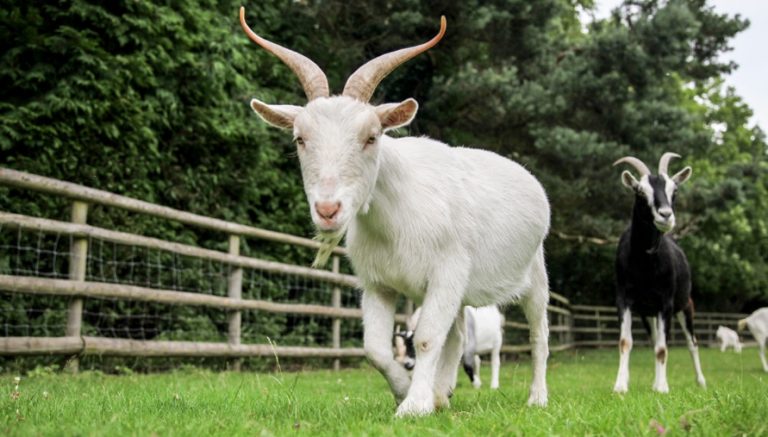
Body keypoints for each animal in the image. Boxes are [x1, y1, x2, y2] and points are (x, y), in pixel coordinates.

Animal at [239, 8, 551, 417]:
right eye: (300, 138)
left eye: (371, 137)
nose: (328, 209)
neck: (396, 221)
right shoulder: (378, 284)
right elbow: (375, 348)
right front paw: (407, 391)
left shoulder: (446, 271)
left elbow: (427, 339)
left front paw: (414, 406)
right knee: (456, 336)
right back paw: (442, 393)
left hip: (535, 274)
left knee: (538, 334)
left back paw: (537, 397)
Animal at [612, 153, 705, 393]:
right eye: (640, 191)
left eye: (675, 190)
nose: (666, 216)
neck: (645, 266)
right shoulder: (624, 299)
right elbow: (625, 342)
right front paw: (620, 385)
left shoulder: (666, 303)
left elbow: (663, 348)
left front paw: (663, 387)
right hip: (648, 313)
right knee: (655, 340)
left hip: (685, 305)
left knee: (692, 343)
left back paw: (701, 382)